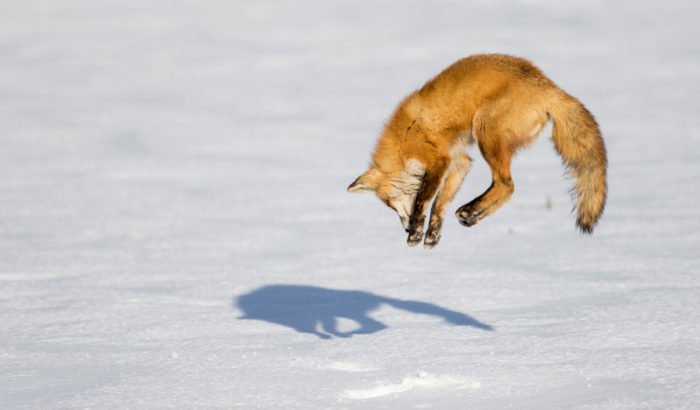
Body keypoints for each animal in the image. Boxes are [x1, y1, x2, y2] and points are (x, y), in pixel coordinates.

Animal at [348, 54, 607, 249]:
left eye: (389, 203)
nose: (406, 228)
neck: (403, 139)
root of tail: (550, 87)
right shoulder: (459, 162)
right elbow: (440, 202)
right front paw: (432, 235)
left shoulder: (438, 159)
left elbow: (423, 199)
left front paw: (416, 234)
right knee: (505, 187)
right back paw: (473, 215)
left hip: (485, 132)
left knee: (506, 185)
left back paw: (470, 210)